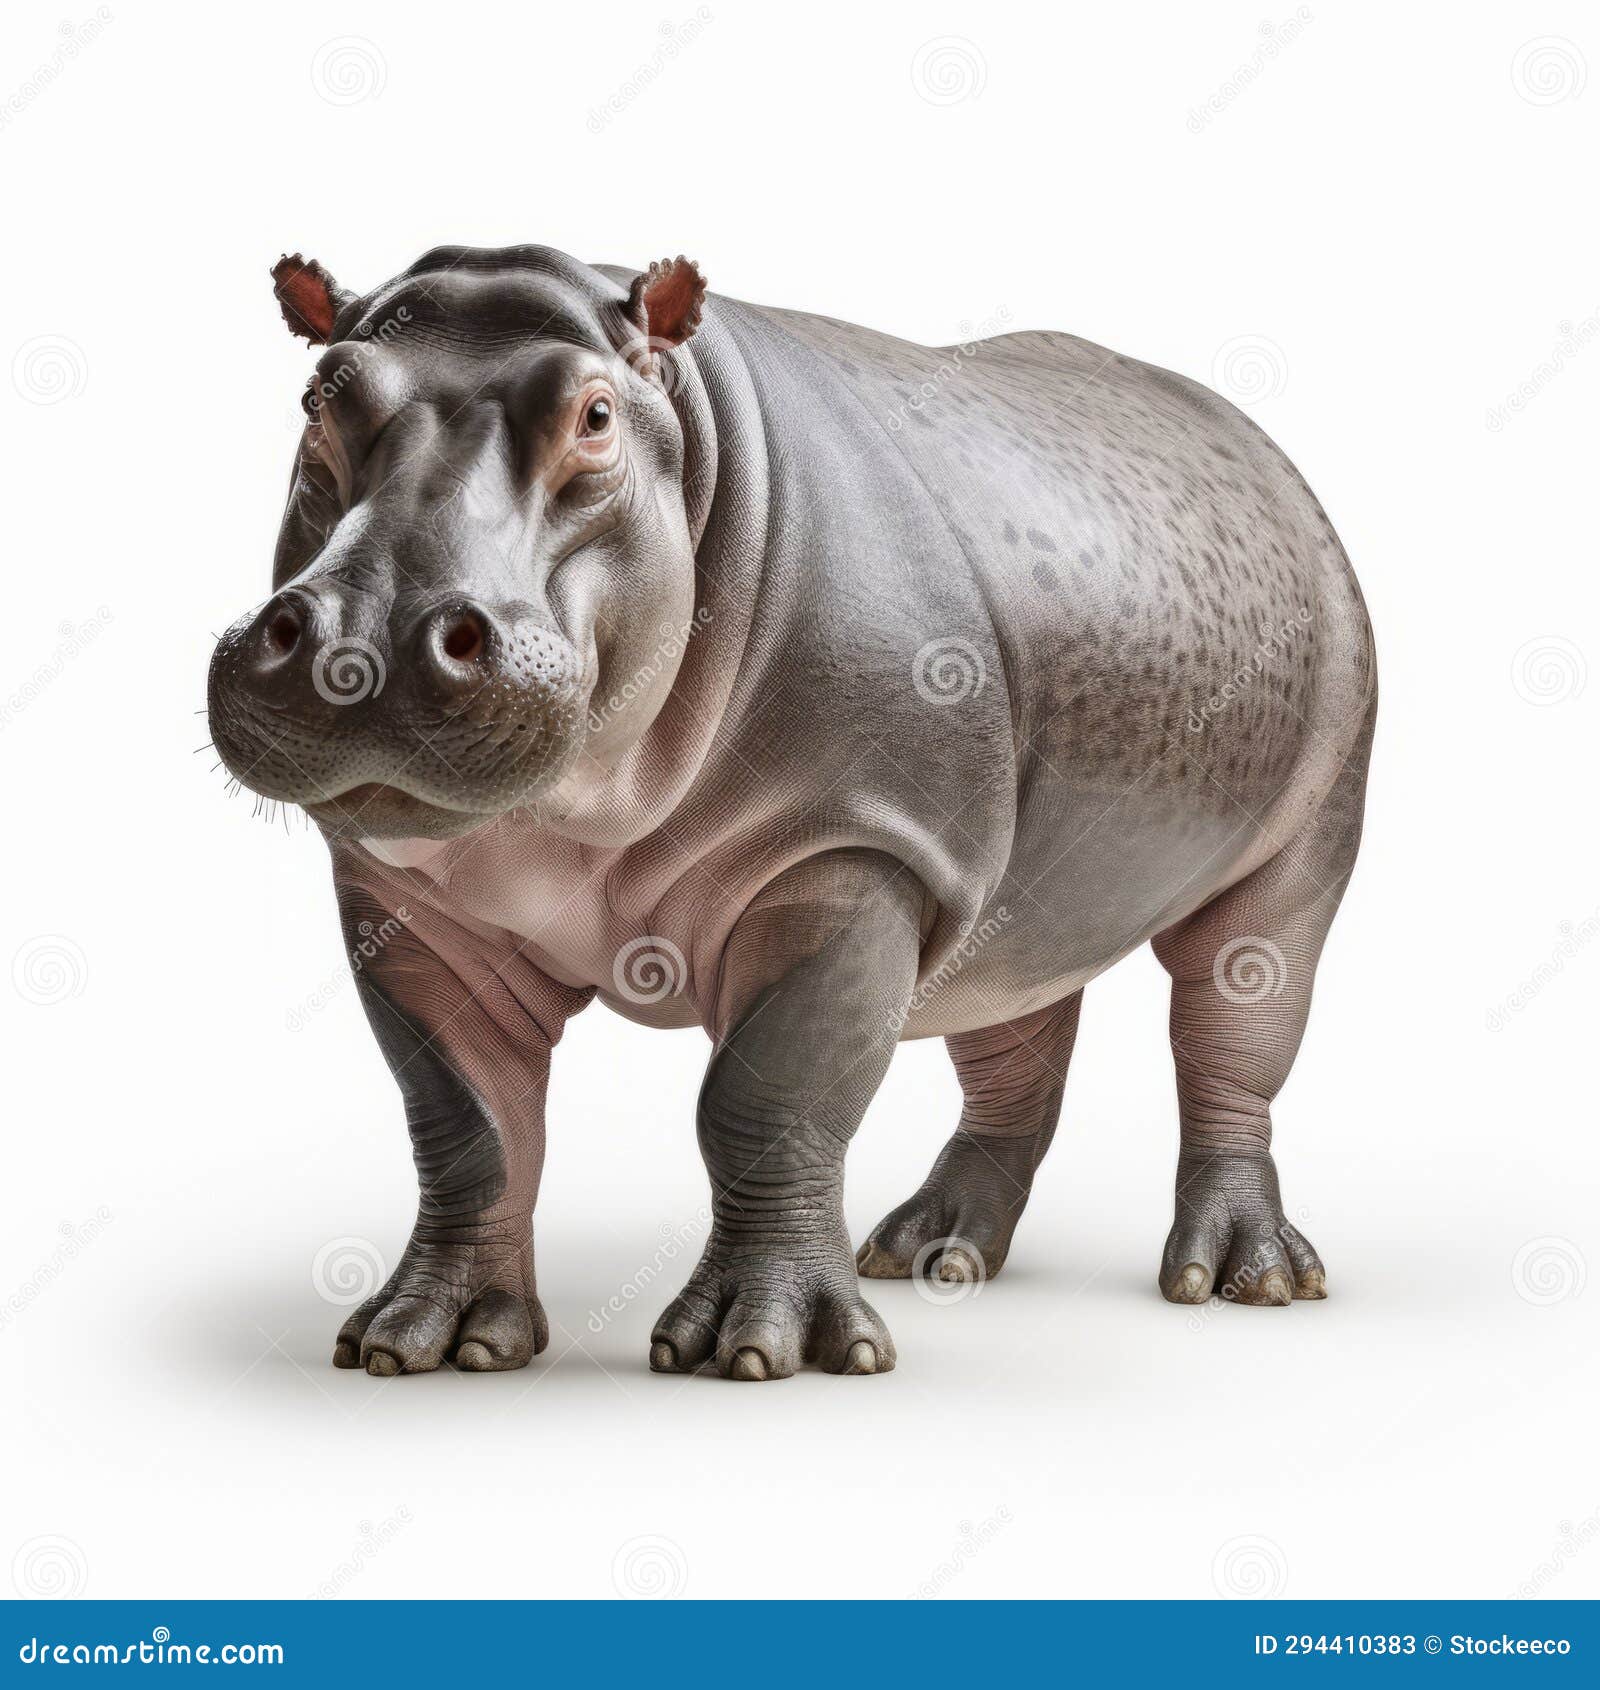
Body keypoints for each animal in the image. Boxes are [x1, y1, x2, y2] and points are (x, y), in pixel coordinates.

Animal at [207, 244, 1376, 1381]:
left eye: (595, 415)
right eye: (318, 397)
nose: (361, 644)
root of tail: (1260, 448)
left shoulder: (853, 848)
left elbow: (767, 1099)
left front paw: (764, 1350)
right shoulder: (411, 901)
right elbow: (465, 1121)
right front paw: (422, 1344)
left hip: (1309, 817)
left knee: (1236, 1020)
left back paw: (1243, 1280)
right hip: (1012, 890)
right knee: (1014, 1027)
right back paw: (929, 1252)